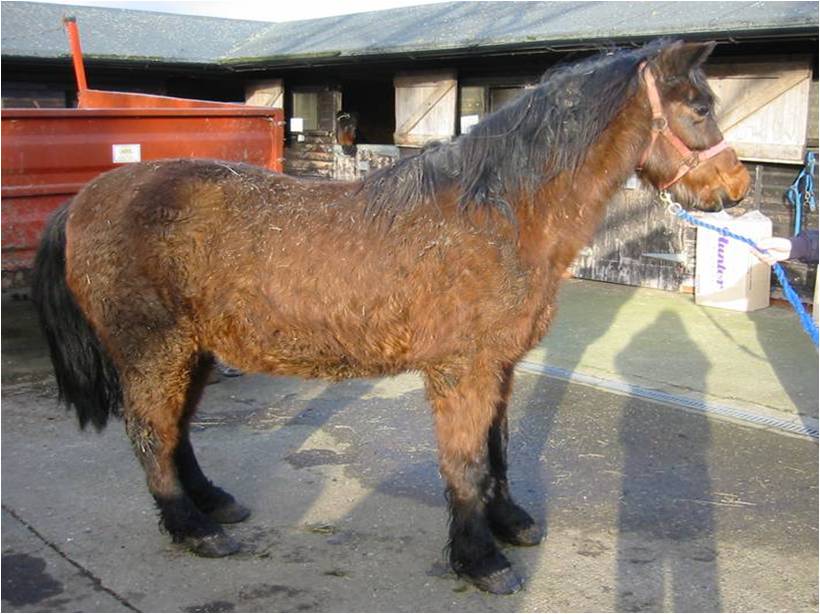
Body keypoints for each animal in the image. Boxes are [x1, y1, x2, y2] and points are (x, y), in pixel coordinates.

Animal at [32, 39, 750, 595]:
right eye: (698, 108)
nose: (737, 188)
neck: (496, 212)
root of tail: (87, 199)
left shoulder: (499, 366)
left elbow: (497, 449)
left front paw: (510, 523)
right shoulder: (462, 370)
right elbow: (466, 463)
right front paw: (480, 559)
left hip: (195, 351)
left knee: (176, 431)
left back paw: (216, 504)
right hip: (155, 350)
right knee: (152, 434)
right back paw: (194, 529)